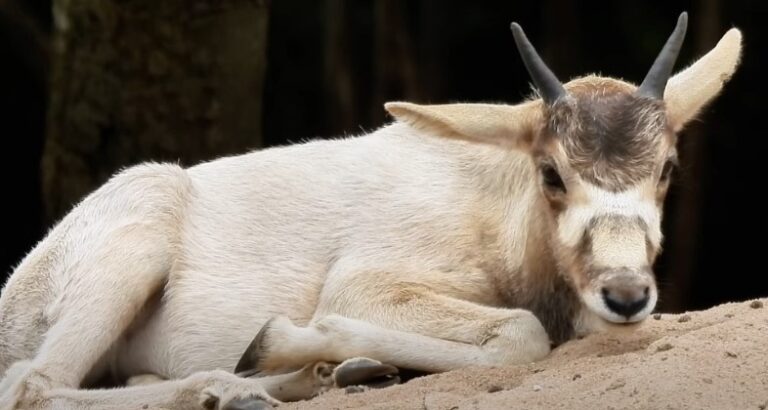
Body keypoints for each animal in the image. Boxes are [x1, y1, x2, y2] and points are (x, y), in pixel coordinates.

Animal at [0, 12, 741, 410]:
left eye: (665, 169)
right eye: (552, 173)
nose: (626, 295)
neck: (494, 205)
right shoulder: (366, 284)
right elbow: (522, 333)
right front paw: (284, 340)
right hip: (134, 242)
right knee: (31, 385)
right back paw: (240, 384)